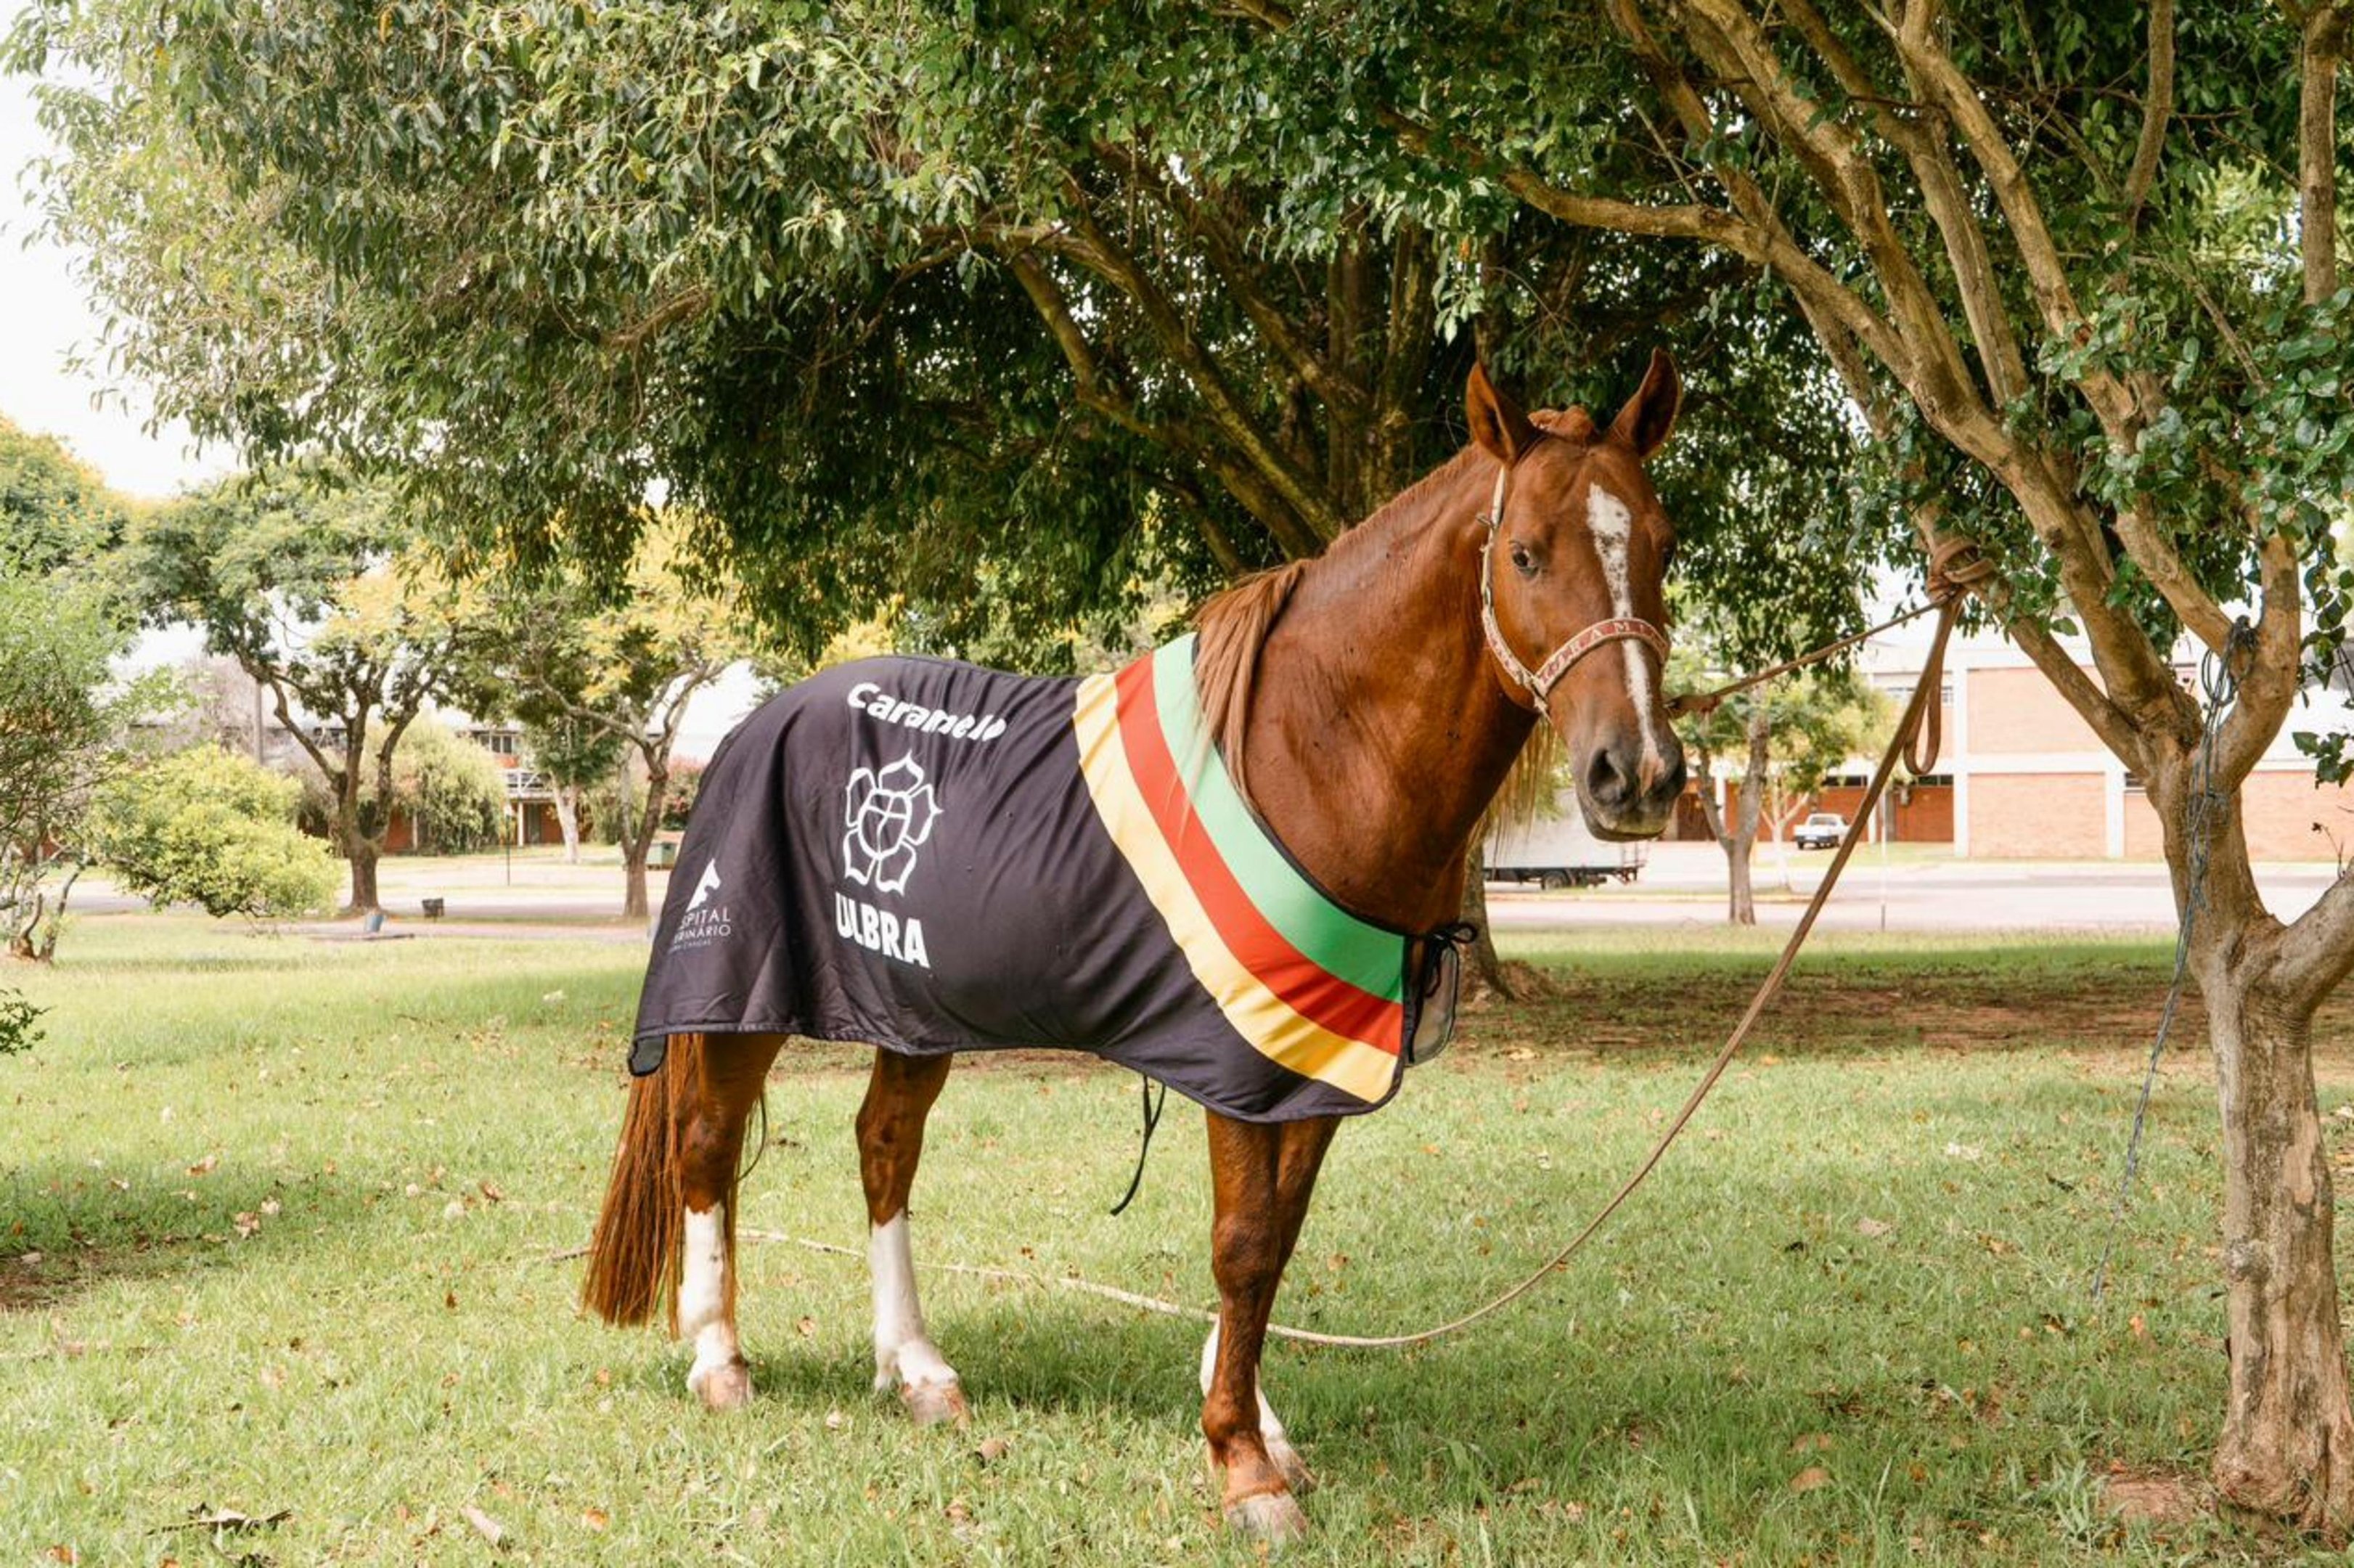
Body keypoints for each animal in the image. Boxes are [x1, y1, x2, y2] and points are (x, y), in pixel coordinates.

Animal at [581, 355, 1689, 1541]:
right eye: (1523, 551)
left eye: (1661, 543)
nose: (1636, 775)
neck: (1318, 745)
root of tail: (751, 727)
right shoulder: (1239, 1054)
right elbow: (1243, 1244)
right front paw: (1242, 1466)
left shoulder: (1315, 1050)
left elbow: (1277, 1241)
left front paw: (1260, 1428)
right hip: (744, 993)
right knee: (706, 1144)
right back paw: (719, 1361)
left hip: (908, 1004)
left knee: (884, 1148)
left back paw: (916, 1369)